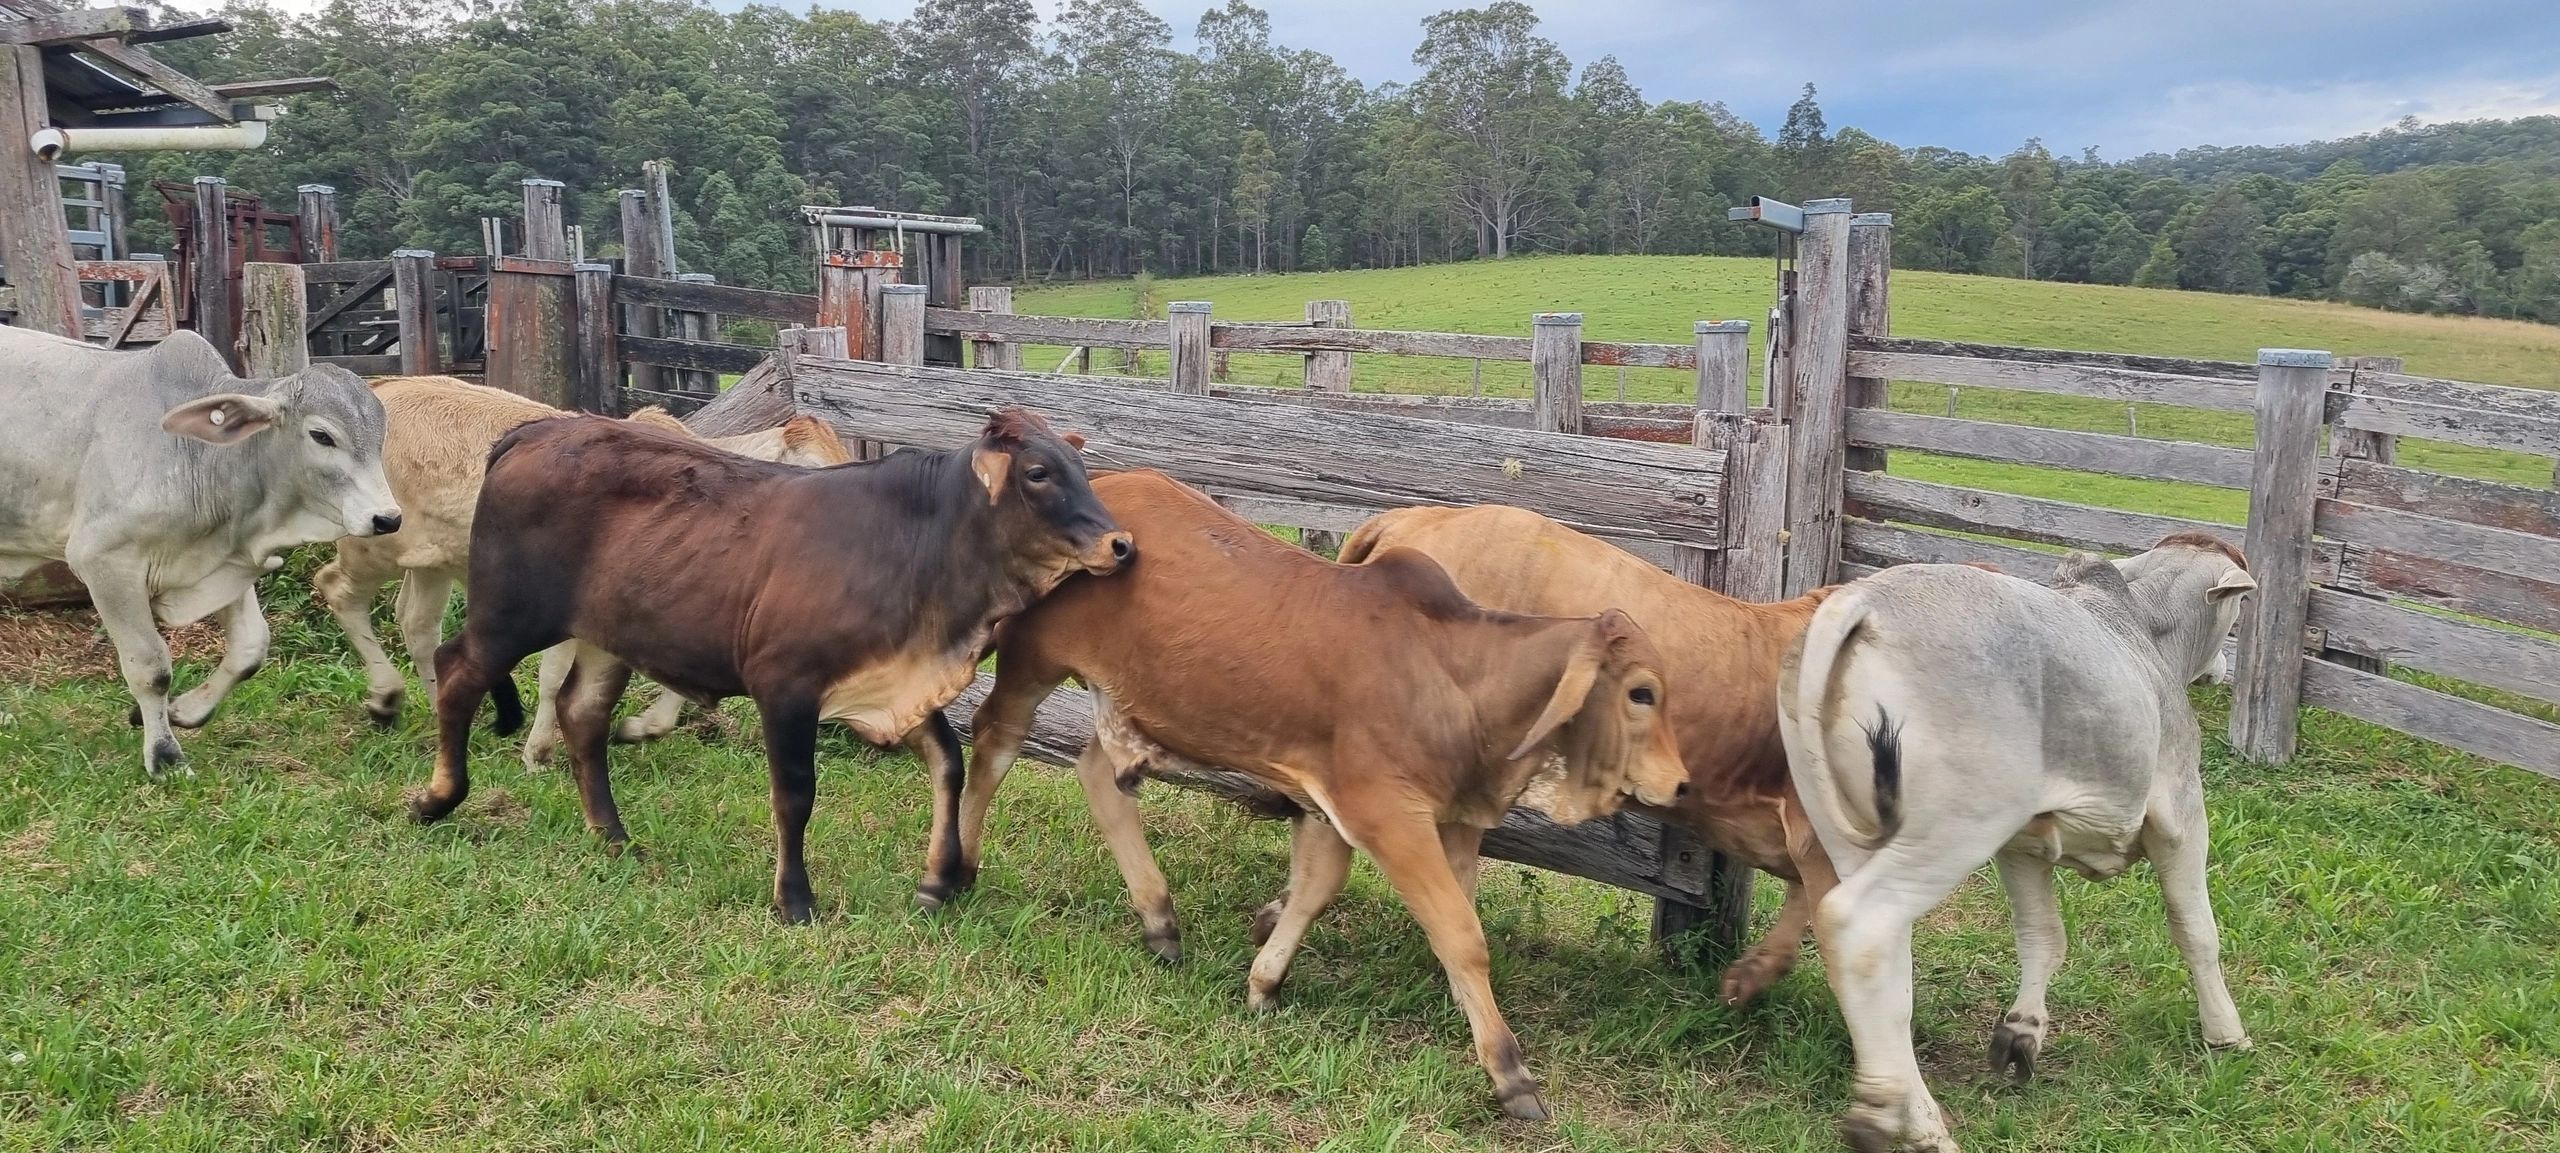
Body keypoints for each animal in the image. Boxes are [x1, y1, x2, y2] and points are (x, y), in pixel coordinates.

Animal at [0, 327, 400, 779]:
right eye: (322, 435)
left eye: (381, 437)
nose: (387, 518)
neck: (198, 457)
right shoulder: (104, 561)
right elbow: (151, 667)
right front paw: (165, 755)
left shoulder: (228, 561)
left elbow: (250, 649)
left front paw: (184, 712)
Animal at [305, 375, 853, 763]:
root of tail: (383, 387)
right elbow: (553, 677)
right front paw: (539, 751)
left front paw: (641, 728)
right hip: (373, 541)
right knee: (337, 589)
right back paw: (386, 697)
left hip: (432, 559)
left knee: (418, 624)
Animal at [409, 408, 1129, 923]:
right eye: (1038, 472)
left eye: (1082, 468)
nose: (1121, 543)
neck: (923, 546)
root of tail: (537, 429)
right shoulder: (786, 685)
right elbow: (795, 792)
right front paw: (795, 899)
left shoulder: (887, 683)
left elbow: (948, 762)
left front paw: (937, 880)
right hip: (509, 614)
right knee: (456, 670)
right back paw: (438, 798)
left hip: (605, 637)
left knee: (581, 716)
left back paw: (613, 838)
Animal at [960, 470, 1690, 1121]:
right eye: (1642, 692)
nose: (1681, 782)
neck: (1459, 679)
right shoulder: (1386, 813)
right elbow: (1461, 934)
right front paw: (1511, 1075)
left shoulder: (1375, 811)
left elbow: (1320, 888)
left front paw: (1264, 981)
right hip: (1031, 659)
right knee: (993, 744)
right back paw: (956, 870)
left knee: (1098, 775)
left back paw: (1160, 919)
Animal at [1778, 535, 2256, 1153]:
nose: (2222, 672)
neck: (2143, 633)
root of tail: (1863, 599)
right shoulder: (2181, 817)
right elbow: (2196, 930)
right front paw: (2225, 1033)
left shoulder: (2025, 846)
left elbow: (2043, 937)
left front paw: (2021, 1033)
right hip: (1955, 828)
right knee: (1857, 924)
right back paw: (1896, 1120)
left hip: (1853, 836)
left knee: (1881, 965)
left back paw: (1914, 1113)